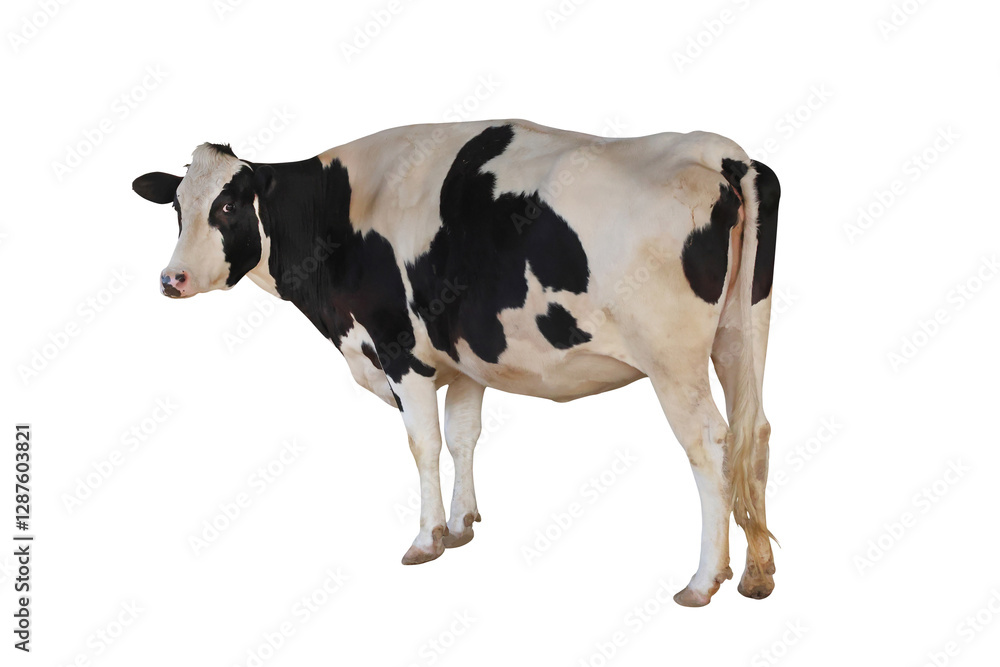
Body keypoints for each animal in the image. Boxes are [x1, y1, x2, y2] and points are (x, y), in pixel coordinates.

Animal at [132, 119, 780, 606]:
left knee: (712, 445)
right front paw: (464, 524)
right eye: (177, 204)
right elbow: (464, 434)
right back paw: (757, 573)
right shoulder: (466, 361)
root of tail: (718, 151)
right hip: (741, 335)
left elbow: (424, 443)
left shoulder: (399, 351)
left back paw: (703, 581)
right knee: (755, 434)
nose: (172, 278)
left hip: (674, 362)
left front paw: (427, 538)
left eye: (229, 204)